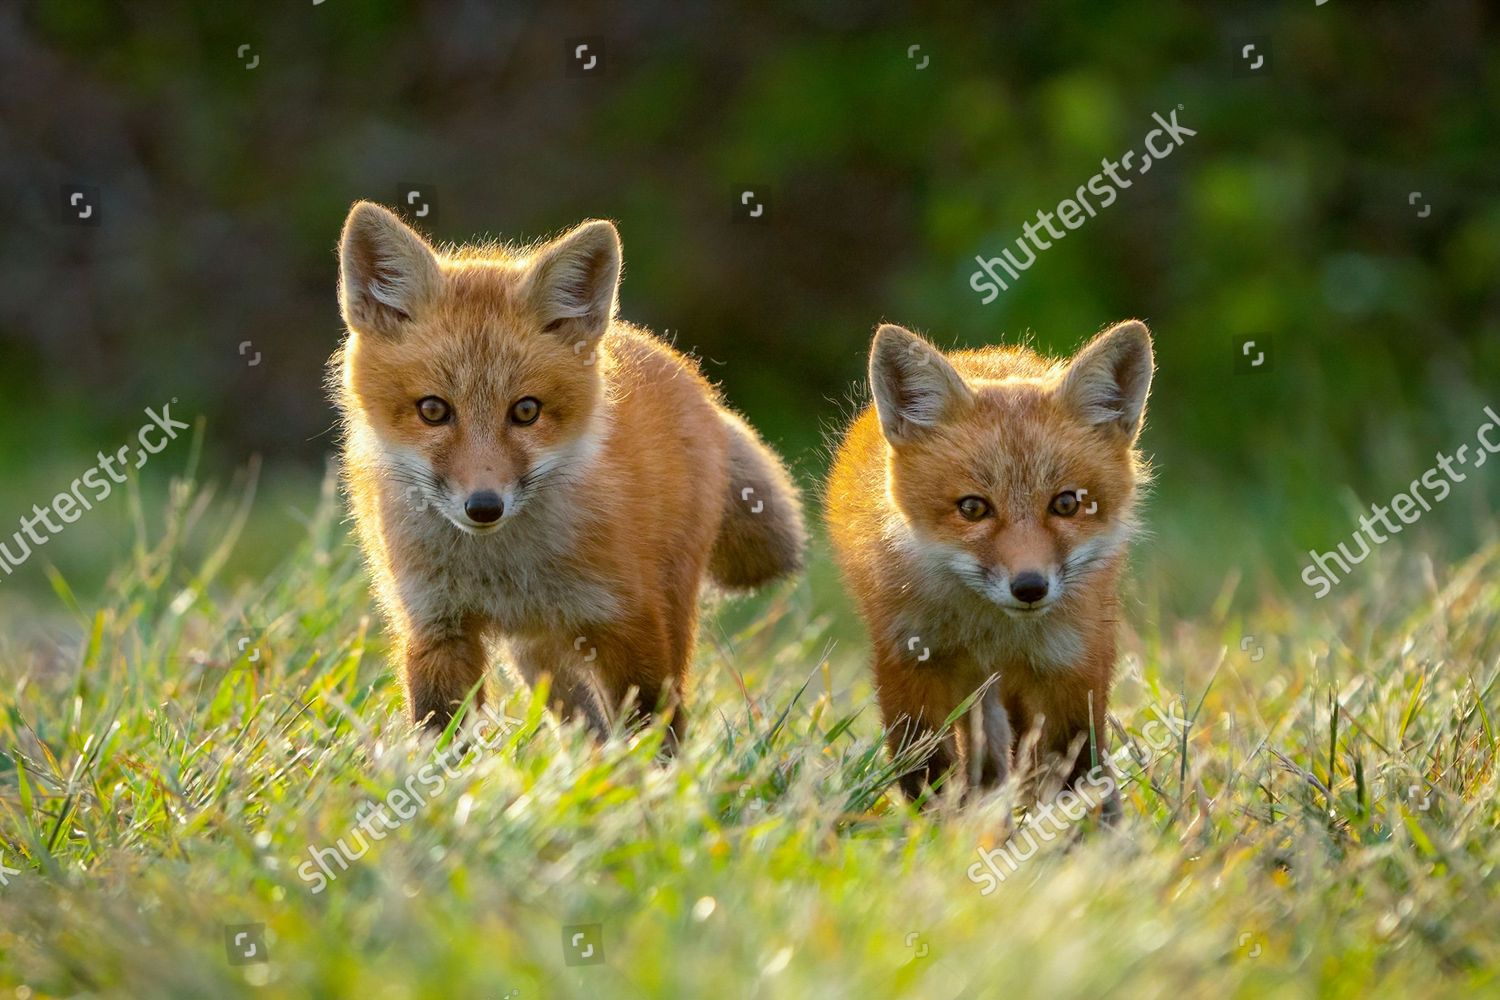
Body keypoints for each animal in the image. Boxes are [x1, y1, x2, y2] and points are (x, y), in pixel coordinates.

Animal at [329, 201, 806, 744]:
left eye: (526, 411)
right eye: (432, 411)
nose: (484, 506)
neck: (502, 569)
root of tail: (692, 377)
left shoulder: (629, 620)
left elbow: (653, 733)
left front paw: (652, 770)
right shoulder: (435, 626)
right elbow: (441, 738)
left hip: (665, 607)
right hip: (540, 657)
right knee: (586, 724)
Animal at [825, 319, 1154, 804]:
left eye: (1067, 504)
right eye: (973, 508)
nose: (1030, 587)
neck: (992, 632)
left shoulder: (1074, 666)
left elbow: (1080, 775)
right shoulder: (909, 662)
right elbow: (928, 772)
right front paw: (939, 824)